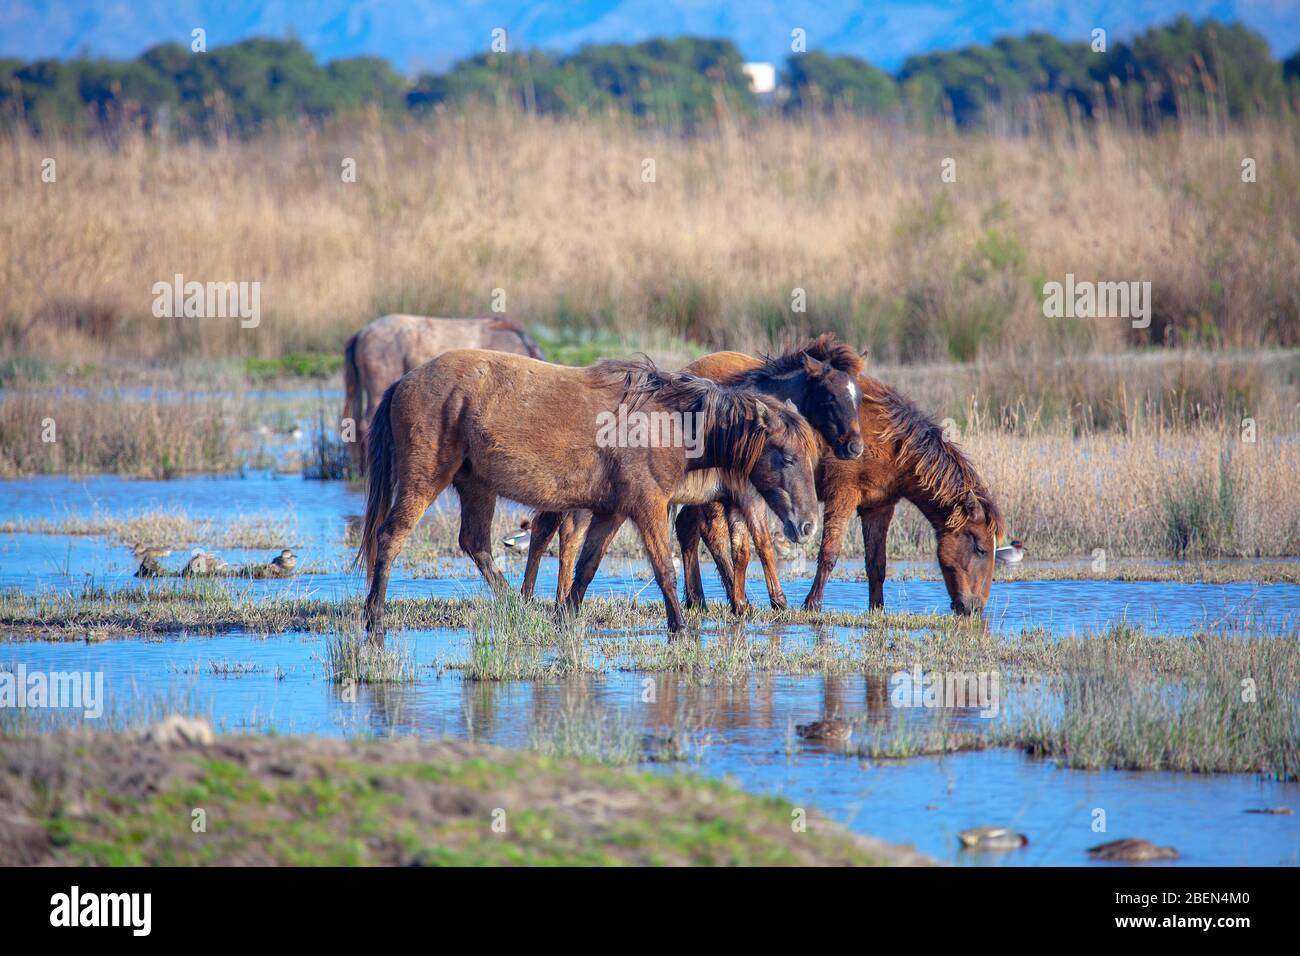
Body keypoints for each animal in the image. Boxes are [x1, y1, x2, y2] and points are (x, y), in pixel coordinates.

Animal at [357, 351, 821, 638]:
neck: (669, 420)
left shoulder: (612, 512)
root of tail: (403, 381)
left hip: (476, 485)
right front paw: (680, 625)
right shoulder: (649, 507)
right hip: (424, 479)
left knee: (475, 544)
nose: (807, 524)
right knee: (391, 537)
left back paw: (516, 609)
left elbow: (586, 566)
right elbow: (664, 569)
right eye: (786, 457)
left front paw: (565, 617)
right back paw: (374, 616)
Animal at [518, 335, 867, 608]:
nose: (854, 447)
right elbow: (760, 544)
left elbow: (737, 547)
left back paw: (532, 595)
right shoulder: (746, 495)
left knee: (546, 529)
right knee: (568, 535)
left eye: (858, 396)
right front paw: (774, 602)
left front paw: (739, 600)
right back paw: (556, 597)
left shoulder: (723, 498)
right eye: (830, 395)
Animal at [678, 357, 1005, 616]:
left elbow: (876, 562)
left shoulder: (879, 506)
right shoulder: (843, 494)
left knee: (689, 528)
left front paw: (877, 608)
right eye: (980, 548)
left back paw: (699, 600)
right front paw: (812, 604)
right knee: (710, 534)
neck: (889, 441)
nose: (974, 607)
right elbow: (829, 552)